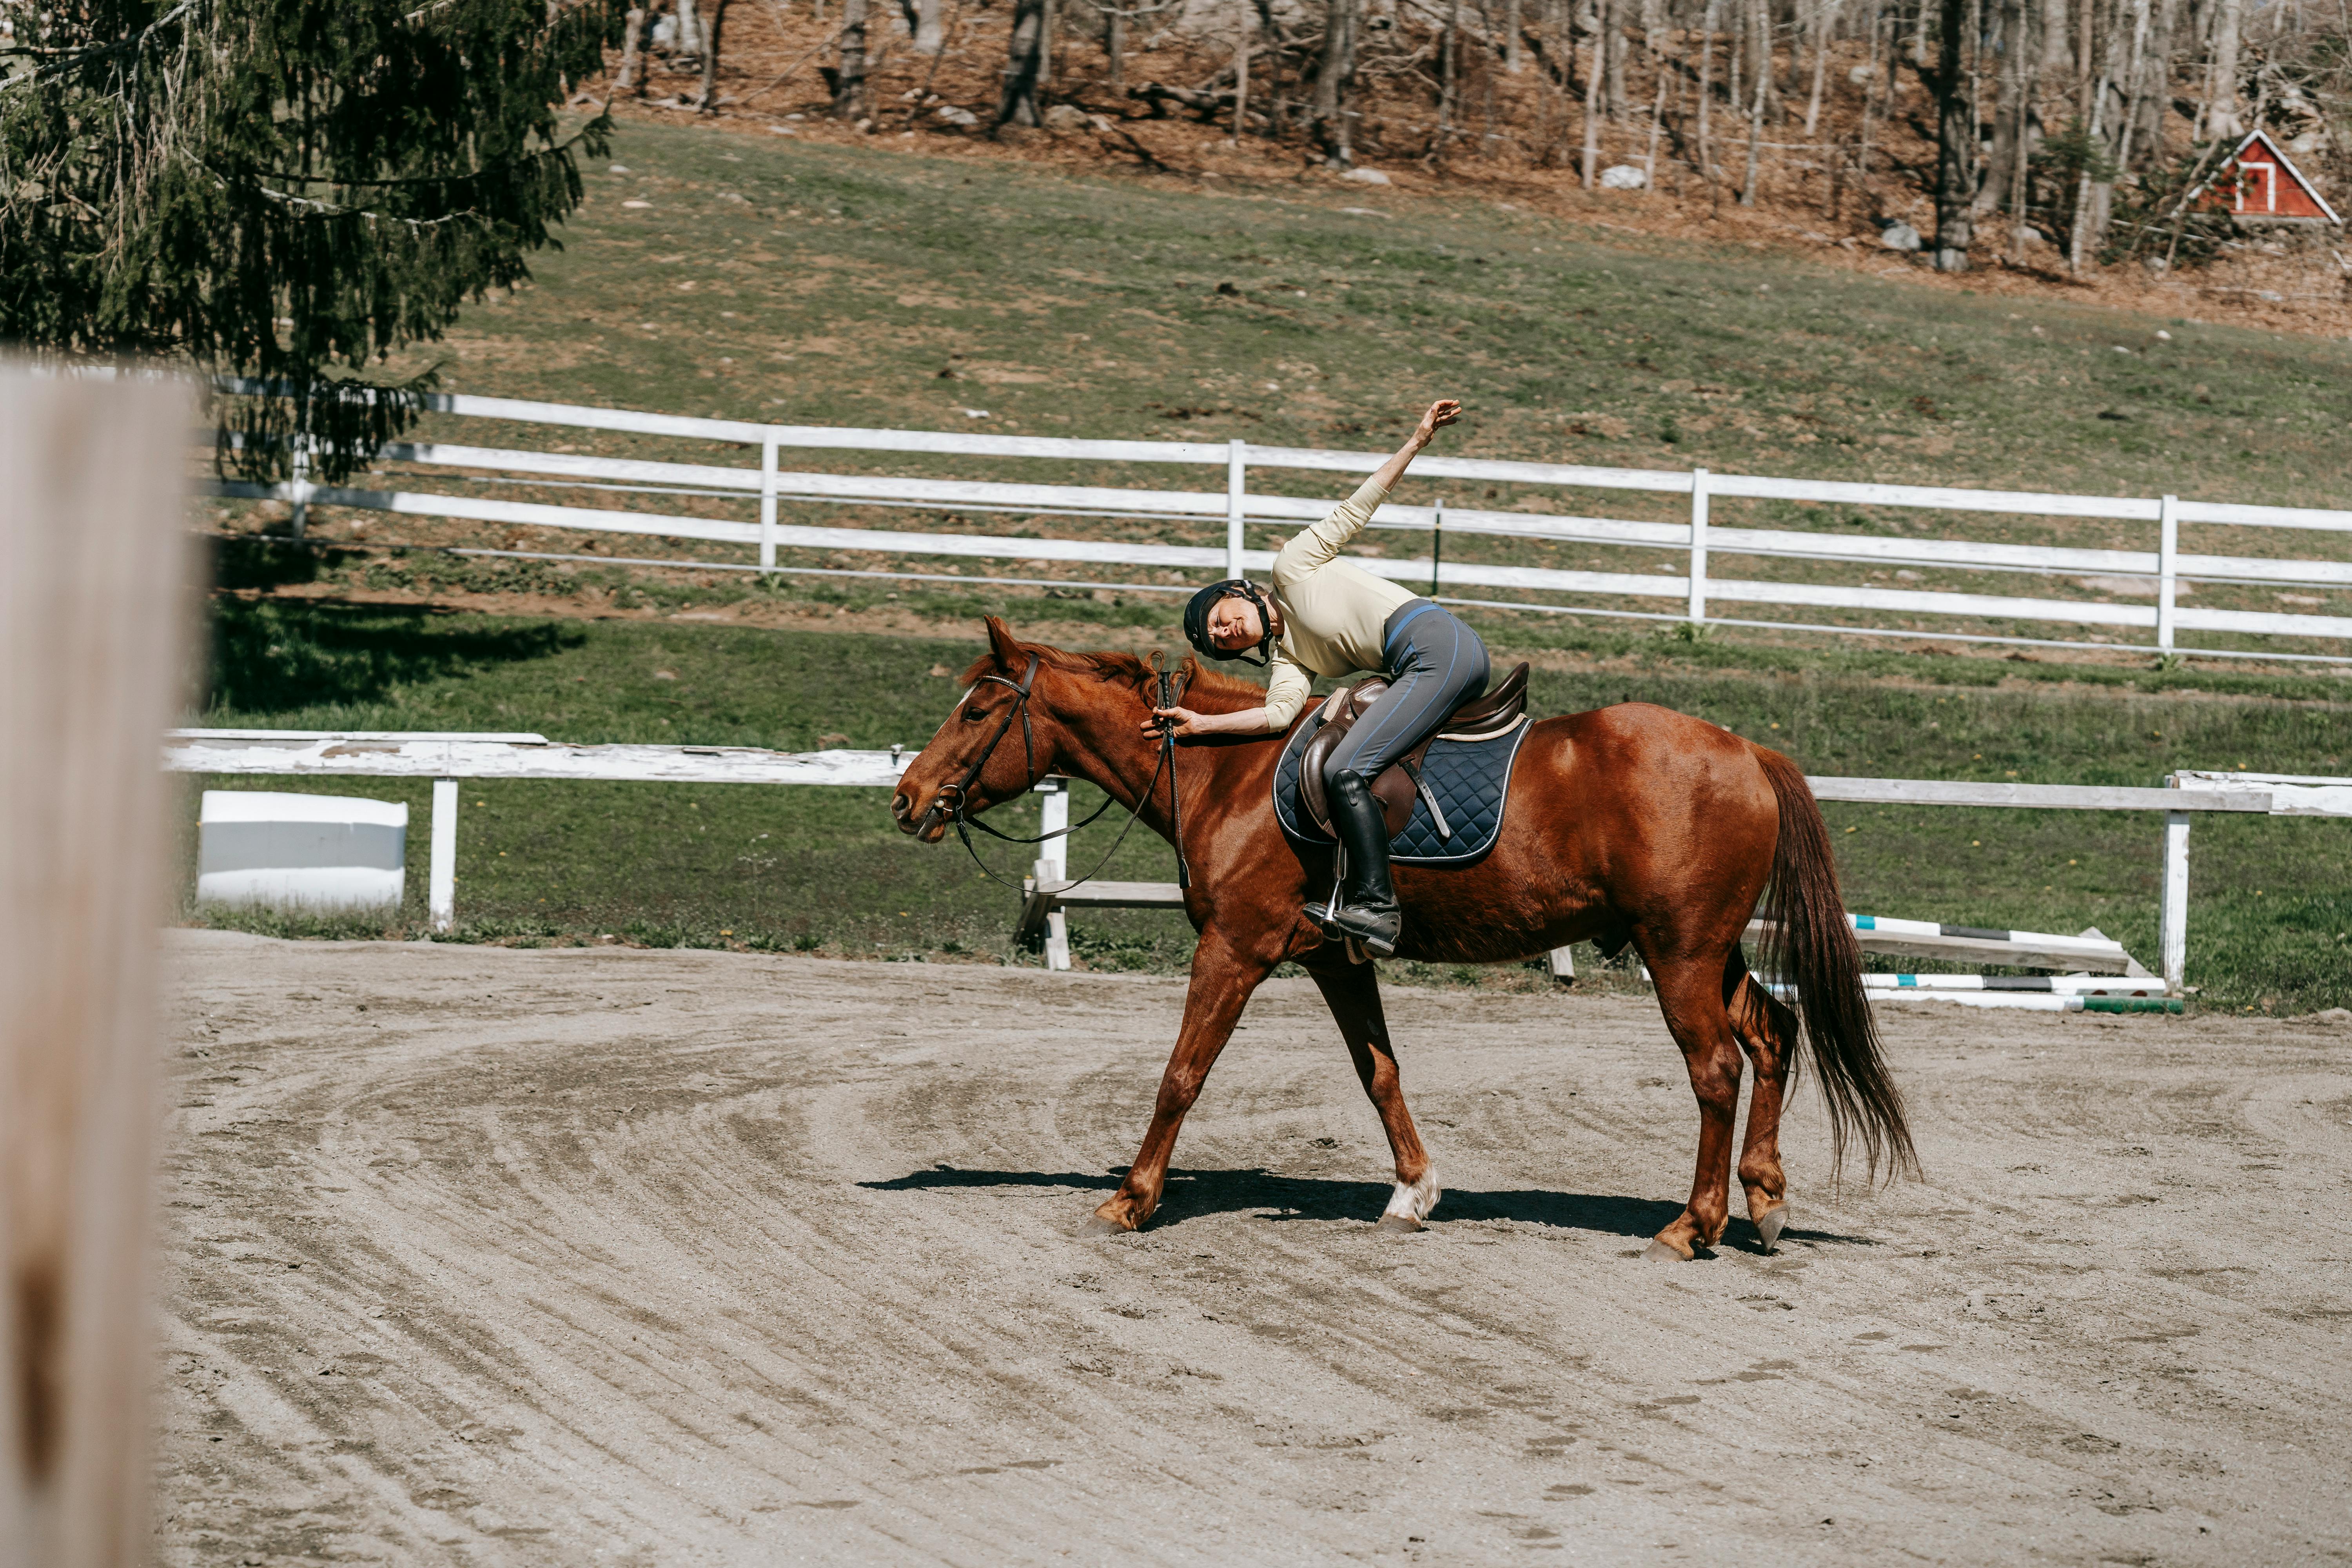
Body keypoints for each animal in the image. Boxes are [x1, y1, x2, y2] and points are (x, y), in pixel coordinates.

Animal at [891, 618, 1915, 1260]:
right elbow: (1379, 1073)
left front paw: (1131, 1199)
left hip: (1680, 954)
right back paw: (1765, 1200)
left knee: (1715, 1067)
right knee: (1772, 1034)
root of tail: (1748, 752)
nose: (906, 798)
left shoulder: (1235, 949)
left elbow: (1182, 1073)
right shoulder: (1331, 959)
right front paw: (1412, 1193)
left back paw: (1692, 1224)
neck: (1232, 771)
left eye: (977, 712)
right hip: (1708, 950)